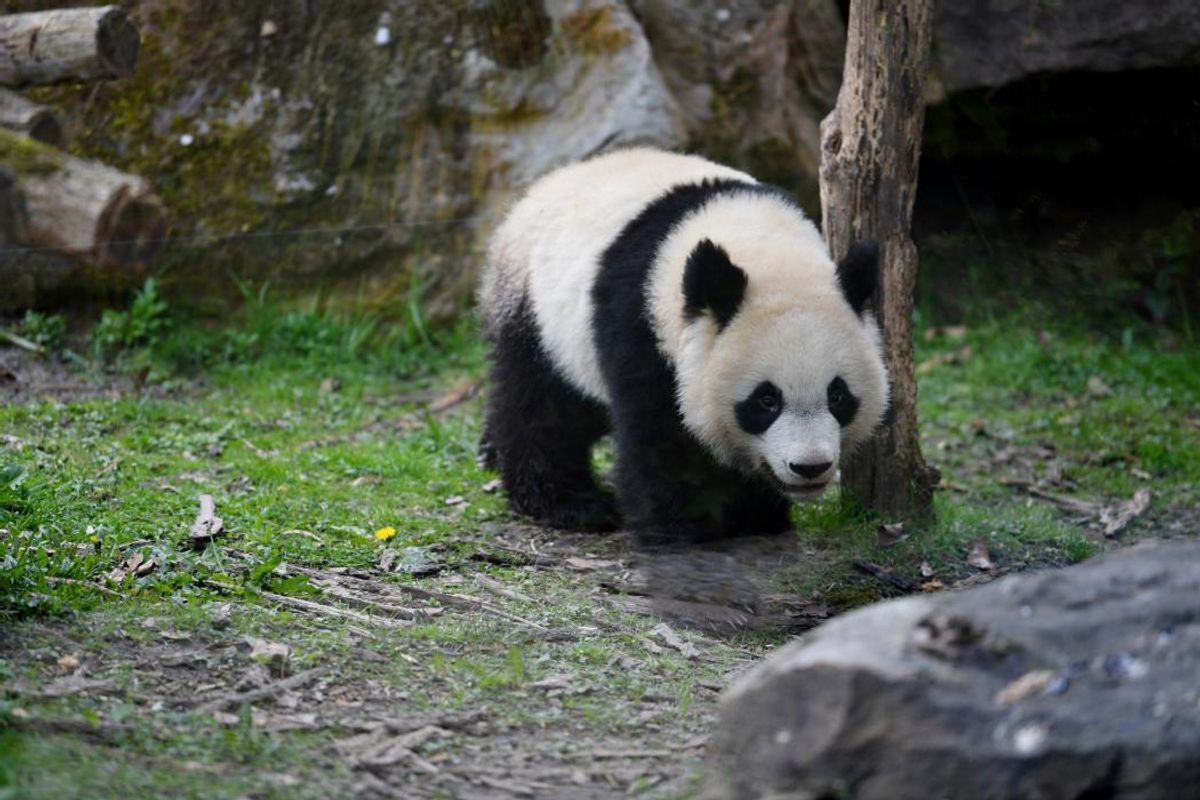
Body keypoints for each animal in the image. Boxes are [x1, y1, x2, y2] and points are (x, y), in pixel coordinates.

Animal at [479, 148, 889, 544]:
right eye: (765, 401)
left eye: (838, 396)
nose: (810, 467)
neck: (762, 246)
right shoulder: (640, 325)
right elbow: (664, 441)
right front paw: (687, 527)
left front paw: (757, 516)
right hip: (538, 310)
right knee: (542, 405)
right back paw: (570, 503)